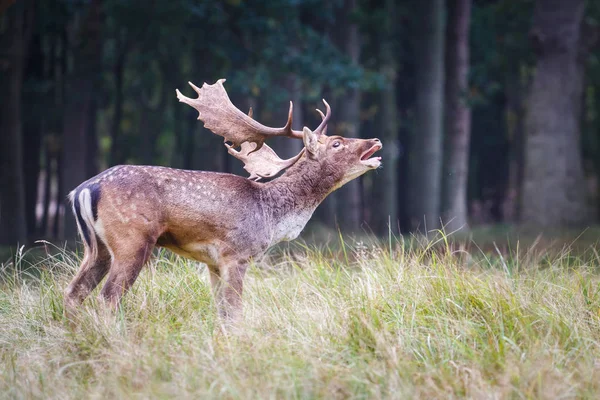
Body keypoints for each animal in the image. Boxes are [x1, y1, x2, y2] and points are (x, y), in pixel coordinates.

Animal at [64, 78, 380, 324]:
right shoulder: (236, 254)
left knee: (73, 294)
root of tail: (81, 190)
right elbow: (235, 312)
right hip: (132, 240)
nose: (375, 141)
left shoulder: (212, 262)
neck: (271, 217)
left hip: (97, 248)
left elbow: (222, 314)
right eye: (337, 143)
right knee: (108, 297)